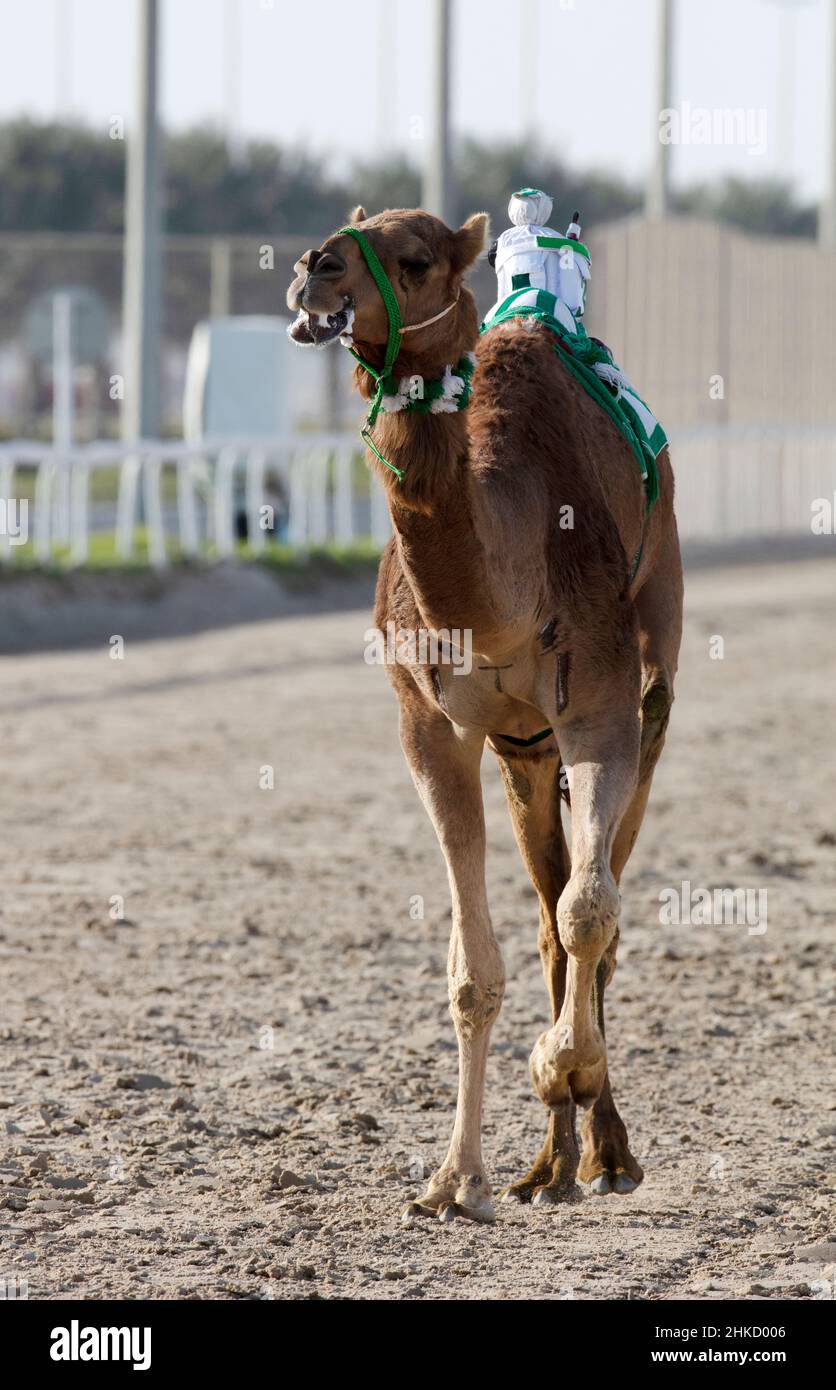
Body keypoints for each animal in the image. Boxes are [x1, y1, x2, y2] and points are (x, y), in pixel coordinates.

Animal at [286, 205, 683, 1222]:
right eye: (344, 229)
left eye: (415, 257)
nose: (314, 267)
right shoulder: (431, 729)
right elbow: (473, 969)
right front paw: (453, 1180)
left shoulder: (600, 711)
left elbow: (592, 914)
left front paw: (559, 1066)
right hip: (522, 750)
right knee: (547, 913)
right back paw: (551, 1162)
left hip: (652, 675)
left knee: (593, 908)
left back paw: (604, 1148)